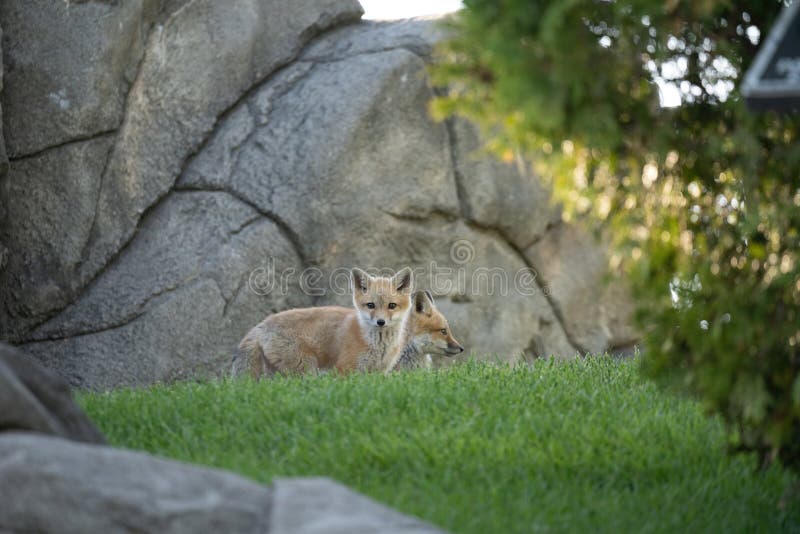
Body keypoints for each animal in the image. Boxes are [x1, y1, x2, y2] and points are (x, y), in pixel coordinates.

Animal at [237, 267, 413, 377]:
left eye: (392, 306)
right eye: (371, 305)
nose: (380, 322)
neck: (378, 345)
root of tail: (263, 324)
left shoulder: (378, 372)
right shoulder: (346, 369)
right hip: (306, 368)